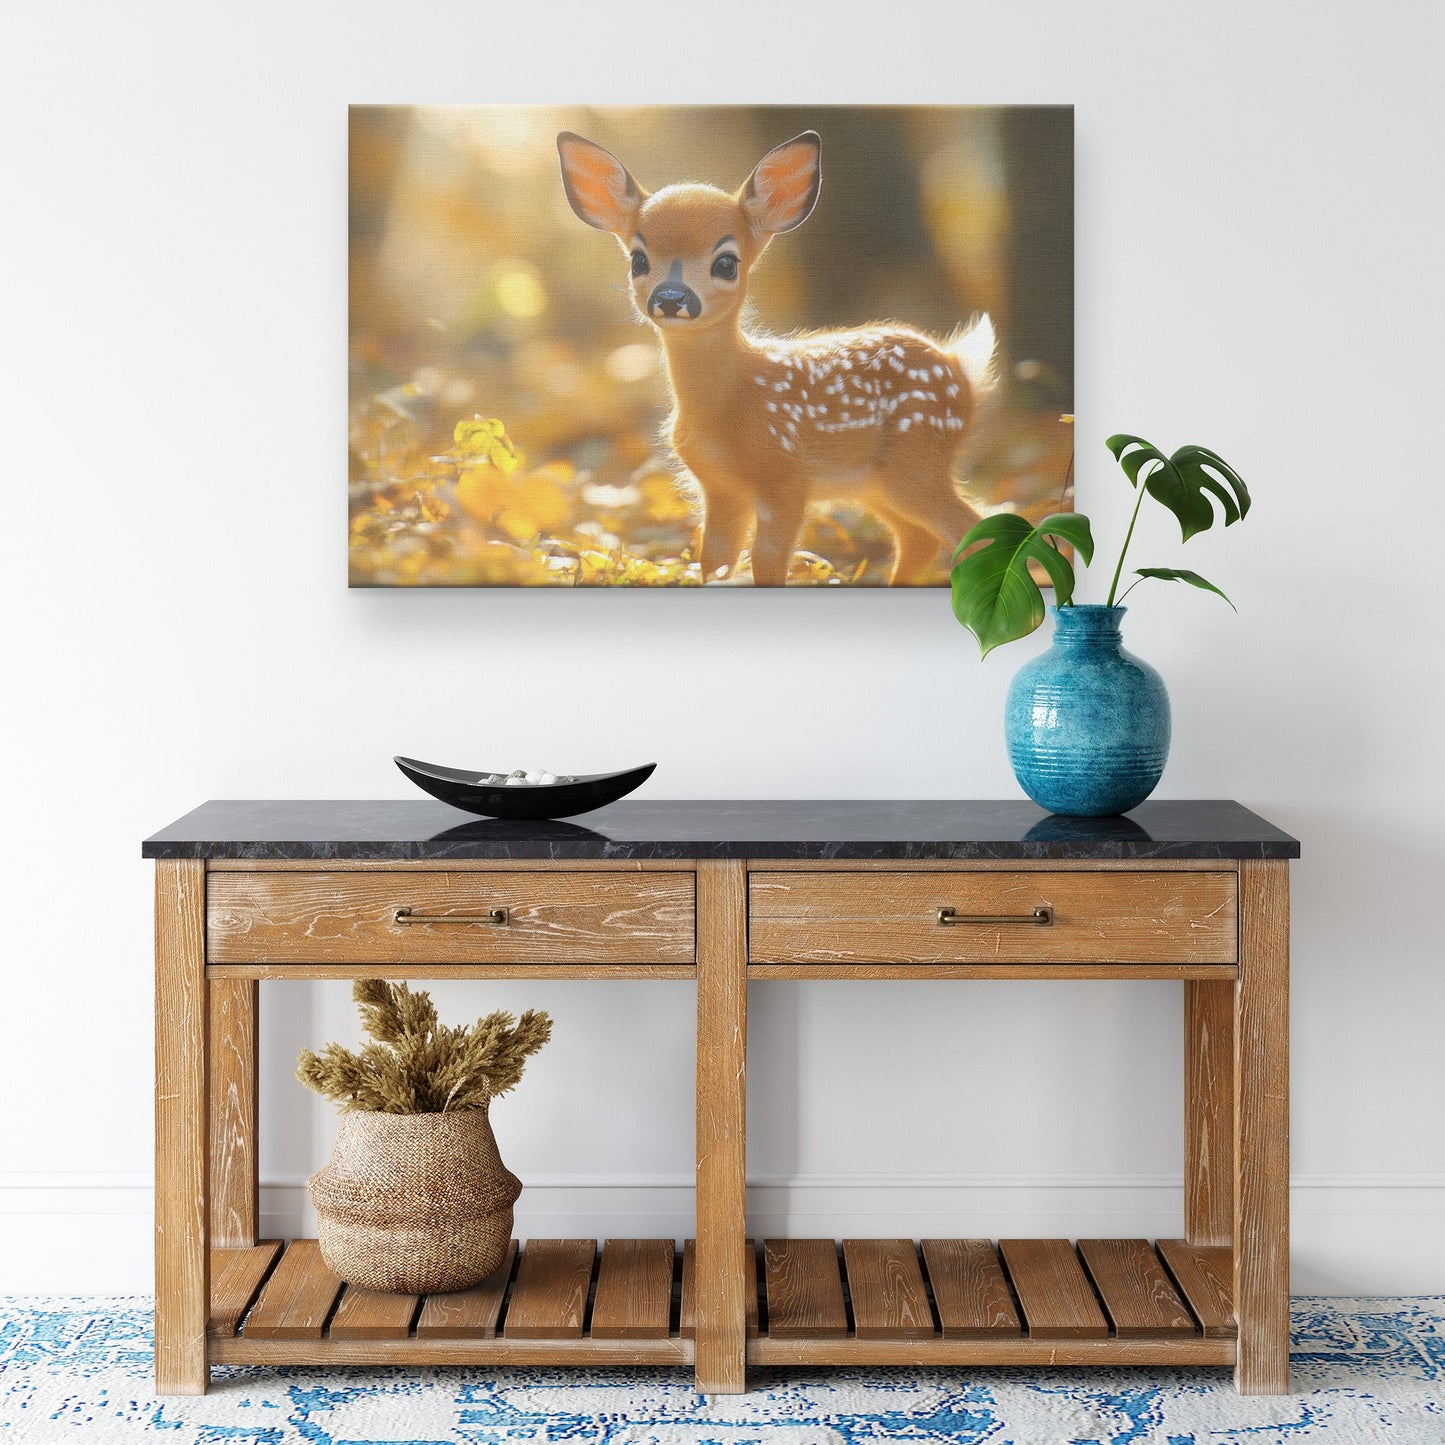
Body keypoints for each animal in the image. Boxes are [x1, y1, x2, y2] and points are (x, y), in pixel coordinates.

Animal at [557, 129, 997, 585]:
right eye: (638, 260)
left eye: (726, 263)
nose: (672, 297)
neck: (727, 401)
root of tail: (960, 367)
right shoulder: (719, 485)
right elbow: (714, 558)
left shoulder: (785, 474)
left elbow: (767, 560)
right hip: (875, 481)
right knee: (920, 538)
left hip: (917, 457)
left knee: (973, 528)